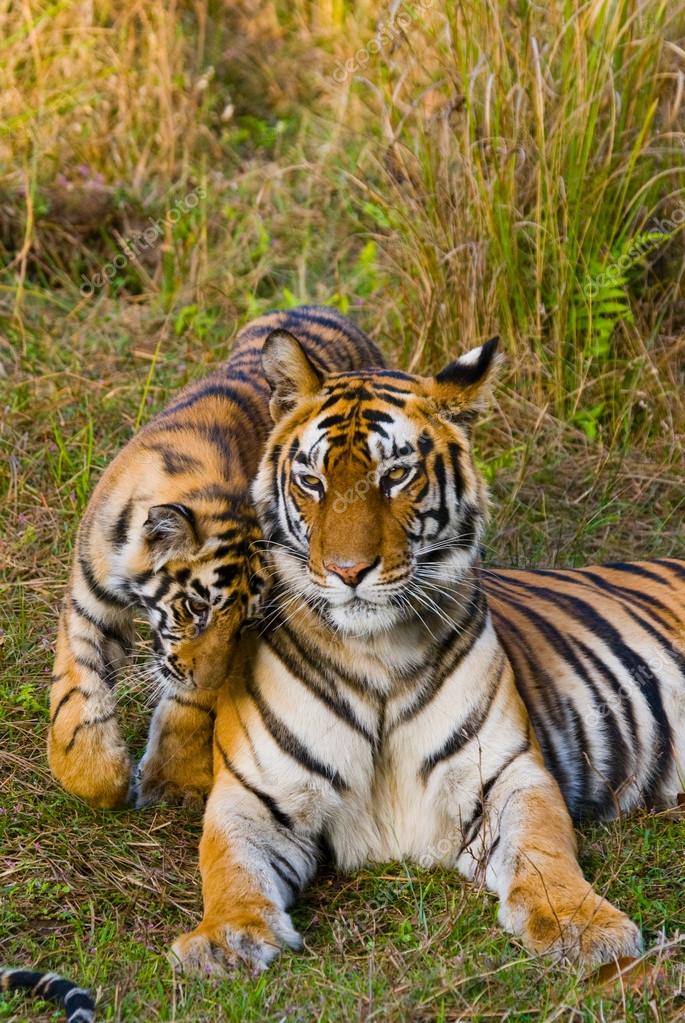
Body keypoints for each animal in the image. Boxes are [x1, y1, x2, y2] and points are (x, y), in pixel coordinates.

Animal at [47, 305, 383, 810]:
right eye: (195, 607)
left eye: (246, 623)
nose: (204, 680)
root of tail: (322, 308)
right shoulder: (90, 599)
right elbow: (76, 684)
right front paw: (94, 777)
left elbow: (190, 707)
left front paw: (172, 781)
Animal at [169, 331, 684, 977]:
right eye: (311, 481)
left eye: (395, 475)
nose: (347, 572)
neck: (375, 656)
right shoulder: (253, 797)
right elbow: (228, 867)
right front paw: (224, 938)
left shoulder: (509, 775)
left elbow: (544, 853)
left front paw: (583, 926)